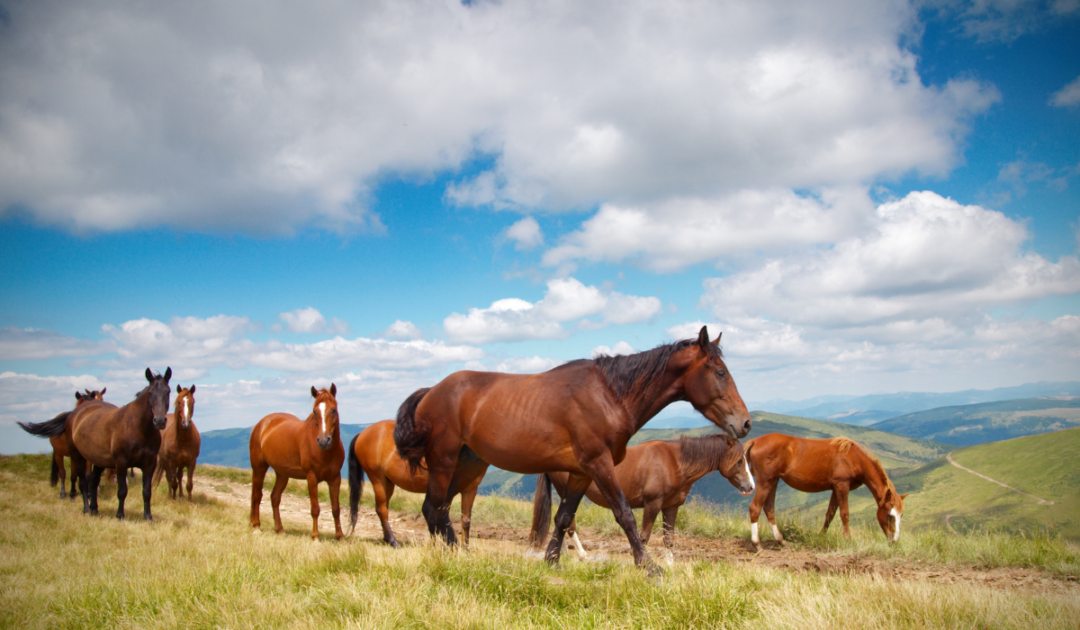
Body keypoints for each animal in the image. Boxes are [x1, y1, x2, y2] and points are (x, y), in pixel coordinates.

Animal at [66, 368, 172, 520]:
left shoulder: (150, 464)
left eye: (167, 391)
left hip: (99, 460)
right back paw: (86, 508)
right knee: (83, 482)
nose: (159, 421)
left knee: (94, 481)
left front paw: (148, 517)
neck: (138, 428)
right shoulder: (121, 463)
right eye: (150, 393)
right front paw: (120, 515)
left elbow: (147, 492)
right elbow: (122, 490)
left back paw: (94, 509)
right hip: (77, 456)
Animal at [249, 384, 345, 540]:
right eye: (315, 411)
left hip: (282, 474)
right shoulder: (312, 477)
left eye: (333, 410)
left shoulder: (335, 478)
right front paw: (315, 537)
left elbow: (336, 508)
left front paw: (340, 536)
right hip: (259, 468)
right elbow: (315, 508)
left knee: (275, 498)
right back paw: (257, 527)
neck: (325, 452)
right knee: (257, 496)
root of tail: (261, 424)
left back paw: (280, 529)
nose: (323, 441)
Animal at [348, 417, 488, 547]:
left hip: (388, 482)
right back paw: (393, 541)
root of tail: (362, 433)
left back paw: (388, 539)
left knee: (382, 508)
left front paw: (465, 548)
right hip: (377, 478)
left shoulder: (470, 489)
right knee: (382, 509)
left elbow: (466, 520)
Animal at [531, 434, 756, 555]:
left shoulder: (671, 506)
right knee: (568, 524)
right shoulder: (652, 504)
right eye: (739, 461)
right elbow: (644, 537)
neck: (675, 463)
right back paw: (581, 555)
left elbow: (668, 539)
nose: (751, 486)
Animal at [744, 433, 907, 551]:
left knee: (769, 508)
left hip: (774, 481)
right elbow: (844, 514)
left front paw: (821, 536)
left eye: (901, 516)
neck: (853, 457)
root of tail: (754, 441)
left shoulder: (835, 488)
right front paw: (848, 540)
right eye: (890, 515)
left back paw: (781, 541)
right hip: (766, 482)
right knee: (755, 508)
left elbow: (830, 514)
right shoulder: (842, 485)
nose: (895, 541)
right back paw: (757, 544)